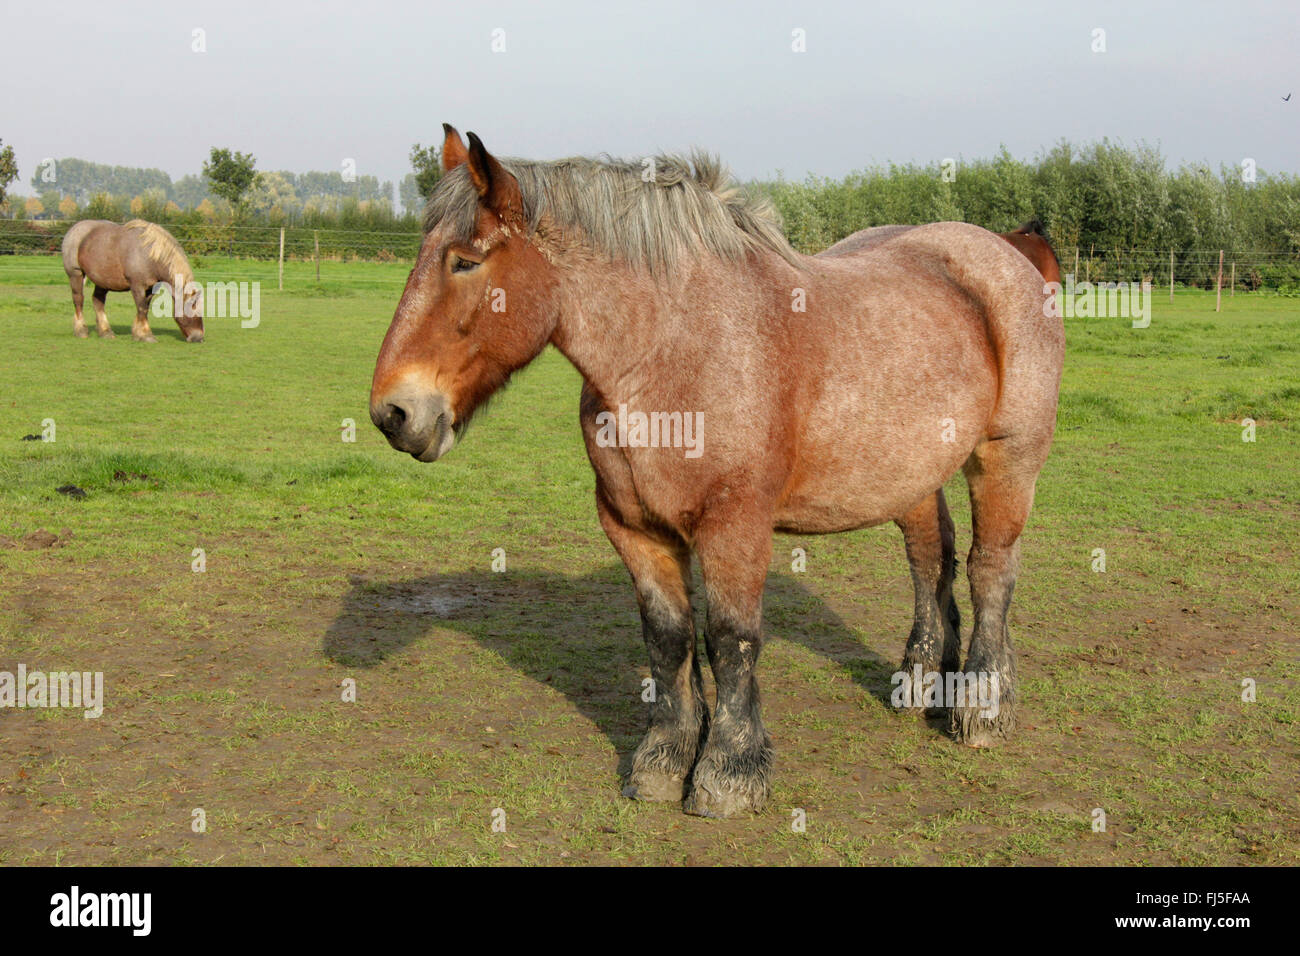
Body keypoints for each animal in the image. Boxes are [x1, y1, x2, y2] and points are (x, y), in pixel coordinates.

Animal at [61, 220, 204, 342]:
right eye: (193, 308)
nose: (198, 337)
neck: (150, 255)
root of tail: (75, 228)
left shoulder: (150, 288)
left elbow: (145, 308)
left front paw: (138, 333)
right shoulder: (137, 286)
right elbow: (141, 308)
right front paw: (145, 335)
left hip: (102, 281)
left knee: (98, 301)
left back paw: (105, 332)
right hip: (75, 274)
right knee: (78, 300)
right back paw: (81, 331)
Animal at [370, 125, 1063, 818]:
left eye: (465, 260)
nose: (393, 413)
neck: (676, 352)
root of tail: (1006, 252)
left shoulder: (736, 526)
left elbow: (731, 640)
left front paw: (729, 771)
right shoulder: (634, 528)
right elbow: (669, 638)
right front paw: (662, 762)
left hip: (1006, 459)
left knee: (989, 569)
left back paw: (983, 707)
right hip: (911, 474)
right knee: (929, 561)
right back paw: (920, 685)